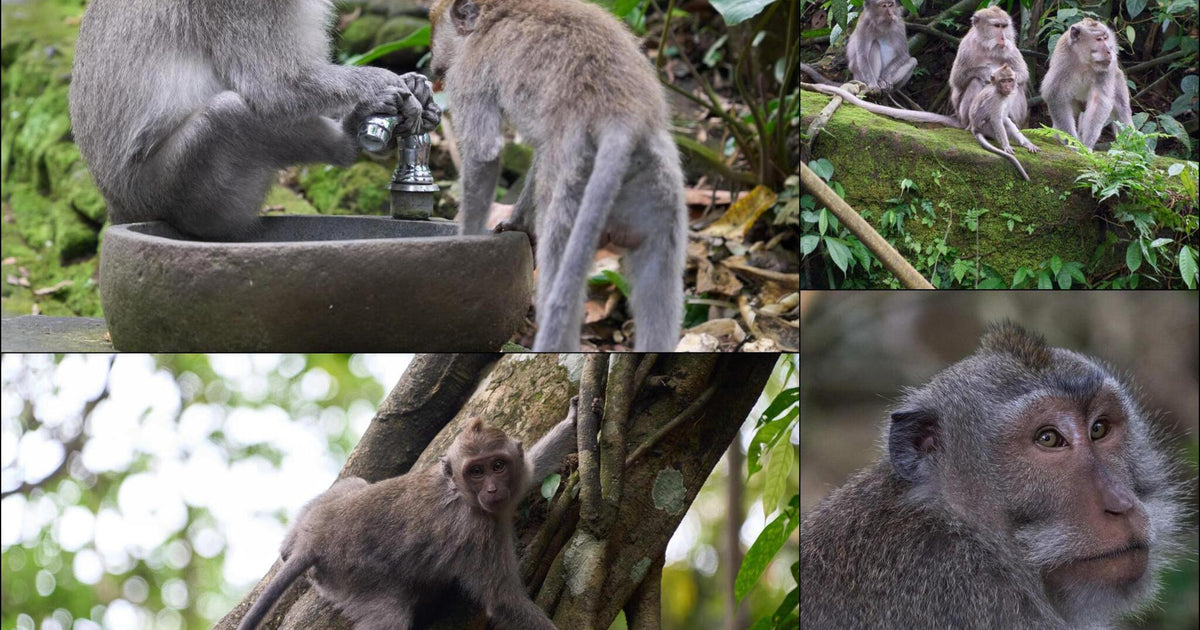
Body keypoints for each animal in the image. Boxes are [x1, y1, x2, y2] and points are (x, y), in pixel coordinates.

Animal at [69, 0, 442, 241]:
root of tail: (117, 204)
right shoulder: (242, 6)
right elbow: (275, 90)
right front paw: (381, 82)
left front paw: (415, 87)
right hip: (165, 190)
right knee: (228, 115)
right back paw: (347, 141)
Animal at [237, 400, 582, 630]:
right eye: (476, 471)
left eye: (497, 466)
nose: (493, 489)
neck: (461, 493)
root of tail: (313, 541)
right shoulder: (478, 534)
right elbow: (504, 602)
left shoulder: (518, 477)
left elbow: (536, 464)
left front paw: (574, 421)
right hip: (352, 577)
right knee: (390, 617)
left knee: (355, 483)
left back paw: (288, 543)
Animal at [429, 0, 686, 352]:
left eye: (433, 32)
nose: (431, 65)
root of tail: (623, 118)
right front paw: (516, 223)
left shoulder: (467, 71)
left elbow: (484, 153)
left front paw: (466, 242)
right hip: (657, 186)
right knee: (659, 280)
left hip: (572, 186)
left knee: (556, 258)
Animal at [1040, 18, 1135, 150]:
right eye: (1098, 39)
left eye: (1105, 38)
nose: (1109, 51)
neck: (1085, 61)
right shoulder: (1063, 62)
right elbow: (1055, 95)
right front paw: (1072, 142)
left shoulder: (1107, 69)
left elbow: (1099, 101)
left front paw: (1087, 145)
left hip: (1118, 77)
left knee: (1121, 108)